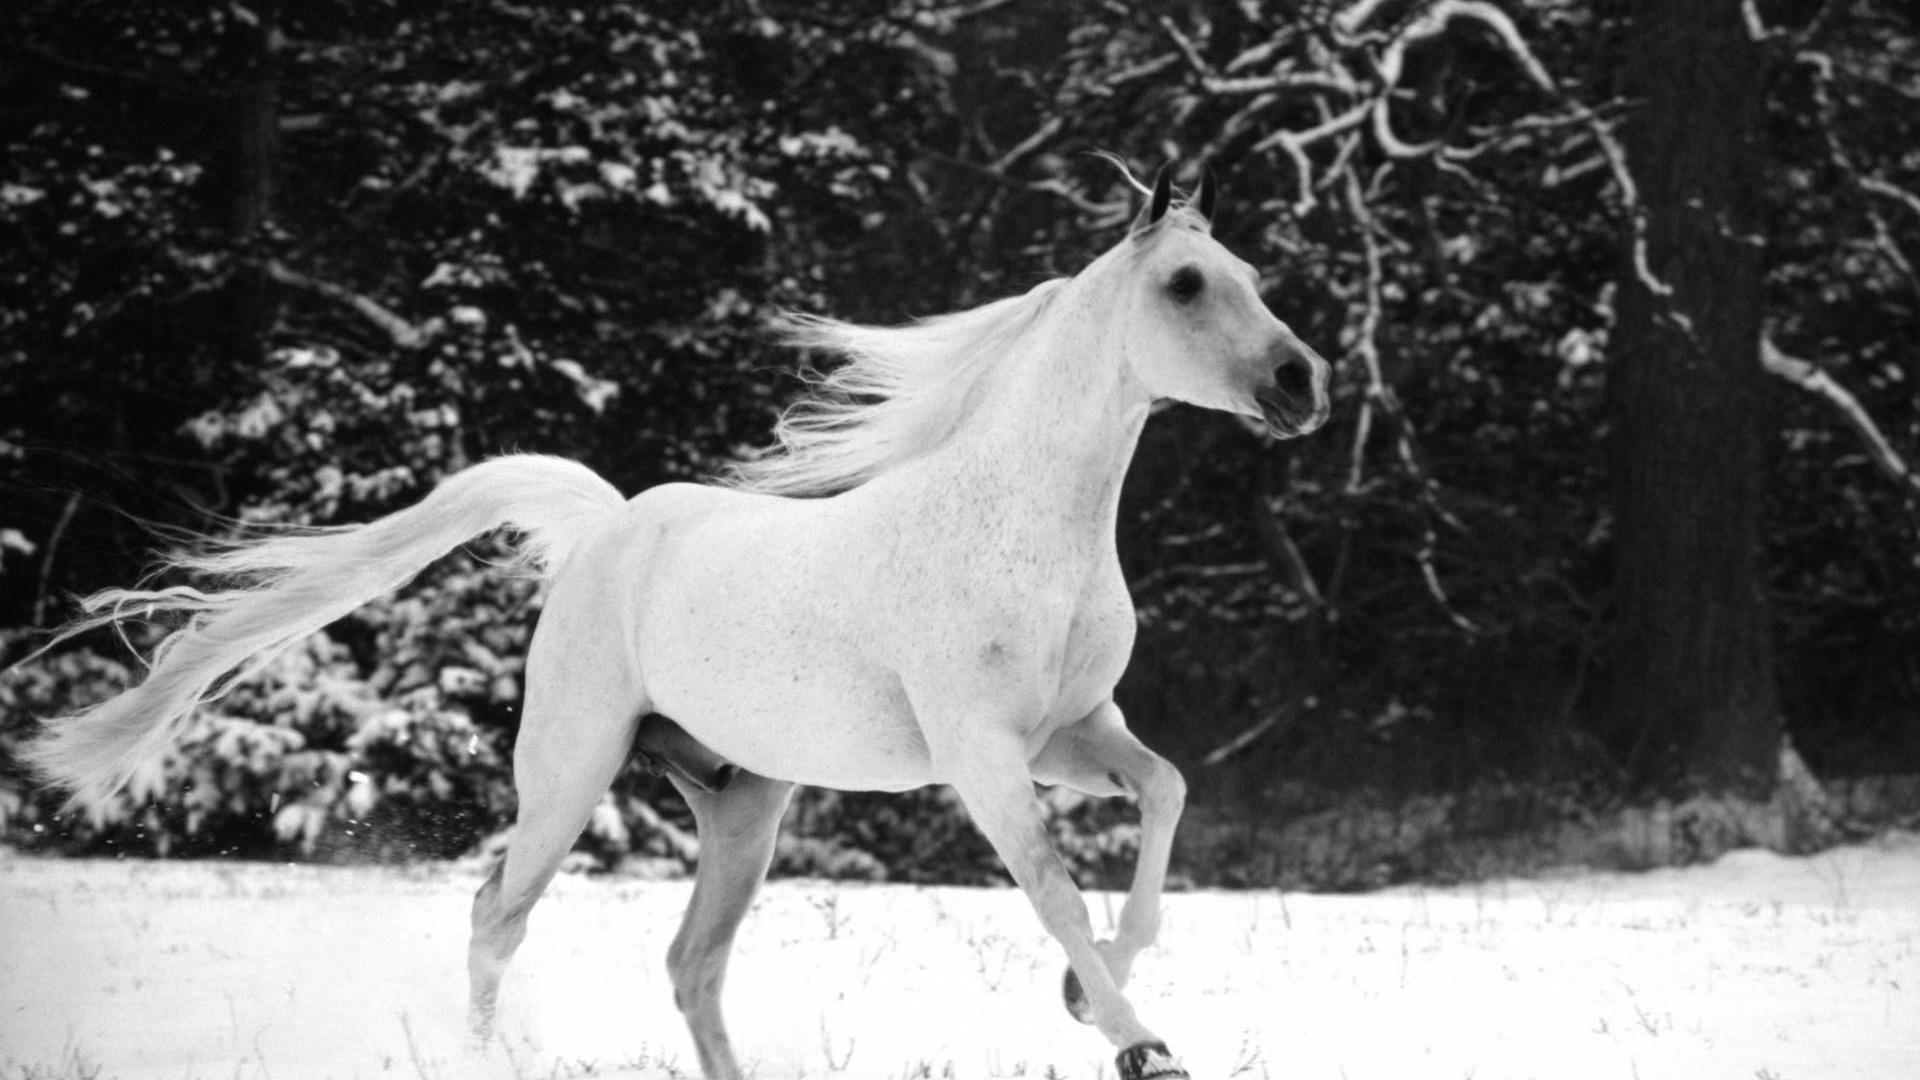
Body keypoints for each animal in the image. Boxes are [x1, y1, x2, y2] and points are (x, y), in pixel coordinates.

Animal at [25, 165, 1331, 1080]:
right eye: (1185, 286)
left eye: (1255, 279)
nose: (1302, 383)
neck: (1023, 527)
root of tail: (606, 528)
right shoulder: (984, 756)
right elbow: (1054, 890)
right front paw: (1139, 1045)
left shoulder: (1076, 733)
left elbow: (1166, 796)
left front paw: (1086, 994)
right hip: (568, 769)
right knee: (497, 918)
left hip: (743, 804)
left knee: (690, 965)